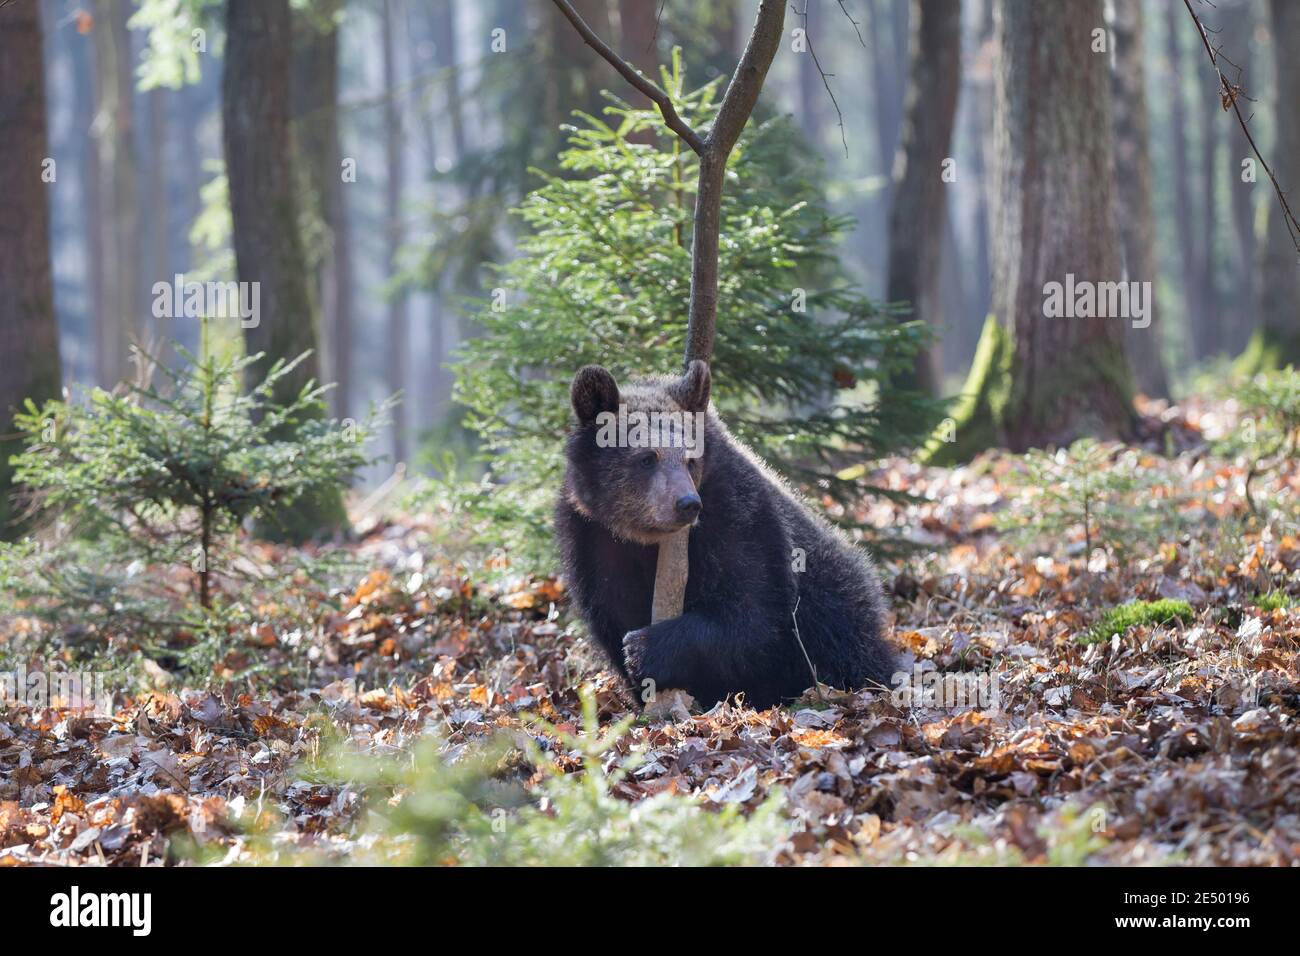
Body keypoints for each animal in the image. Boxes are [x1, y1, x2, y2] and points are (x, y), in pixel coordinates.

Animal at [555, 359, 897, 710]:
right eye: (648, 457)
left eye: (690, 458)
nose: (687, 503)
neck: (641, 538)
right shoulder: (592, 541)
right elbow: (612, 613)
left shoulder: (738, 518)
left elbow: (752, 614)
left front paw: (644, 648)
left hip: (834, 605)